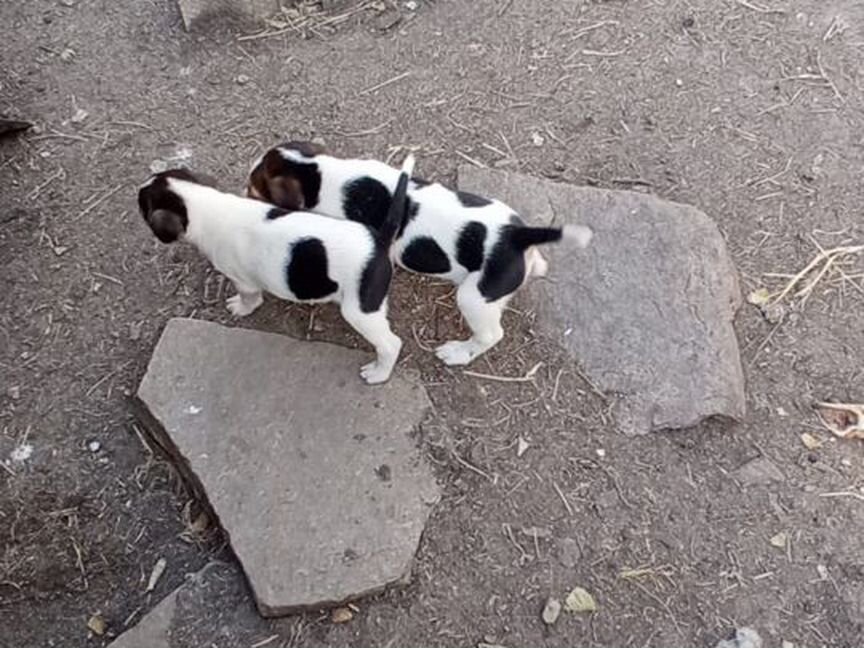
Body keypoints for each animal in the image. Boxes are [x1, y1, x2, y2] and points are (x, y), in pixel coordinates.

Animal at [138, 154, 416, 382]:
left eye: (142, 204)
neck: (205, 205)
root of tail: (379, 240)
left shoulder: (243, 282)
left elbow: (249, 299)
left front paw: (241, 308)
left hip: (360, 311)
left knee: (391, 344)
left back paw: (378, 373)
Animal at [246, 142, 592, 368]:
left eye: (254, 188)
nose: (243, 190)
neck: (321, 174)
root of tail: (518, 236)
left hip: (474, 298)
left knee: (491, 334)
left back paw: (457, 353)